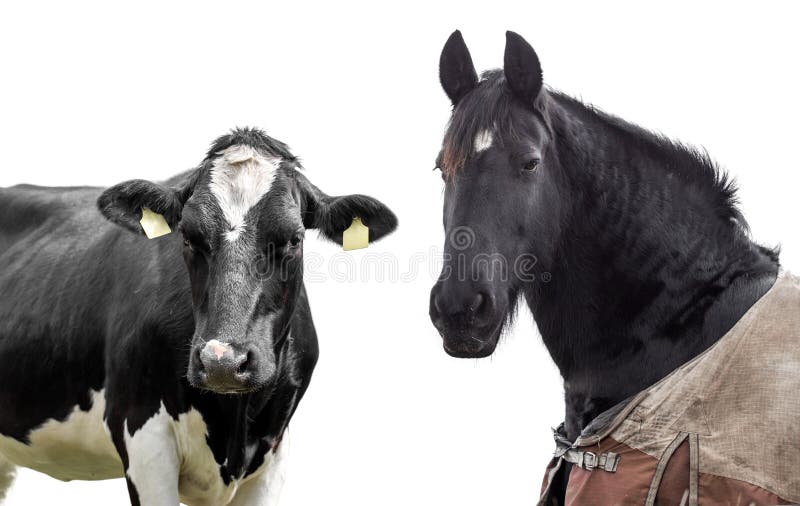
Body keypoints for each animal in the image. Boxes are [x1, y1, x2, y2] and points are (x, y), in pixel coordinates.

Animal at [0, 127, 398, 505]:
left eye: (293, 239)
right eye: (188, 237)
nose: (223, 362)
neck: (232, 427)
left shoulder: (274, 454)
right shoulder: (143, 437)